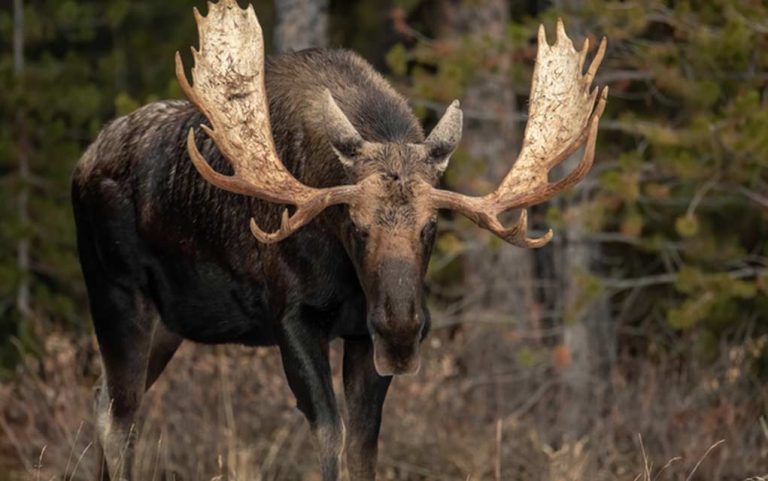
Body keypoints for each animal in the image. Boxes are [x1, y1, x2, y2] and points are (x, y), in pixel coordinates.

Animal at [70, 1, 607, 480]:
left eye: (431, 227)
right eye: (356, 224)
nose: (400, 328)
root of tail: (82, 162)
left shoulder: (361, 336)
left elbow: (363, 447)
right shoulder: (292, 319)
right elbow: (330, 436)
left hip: (169, 324)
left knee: (106, 401)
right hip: (116, 294)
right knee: (118, 416)